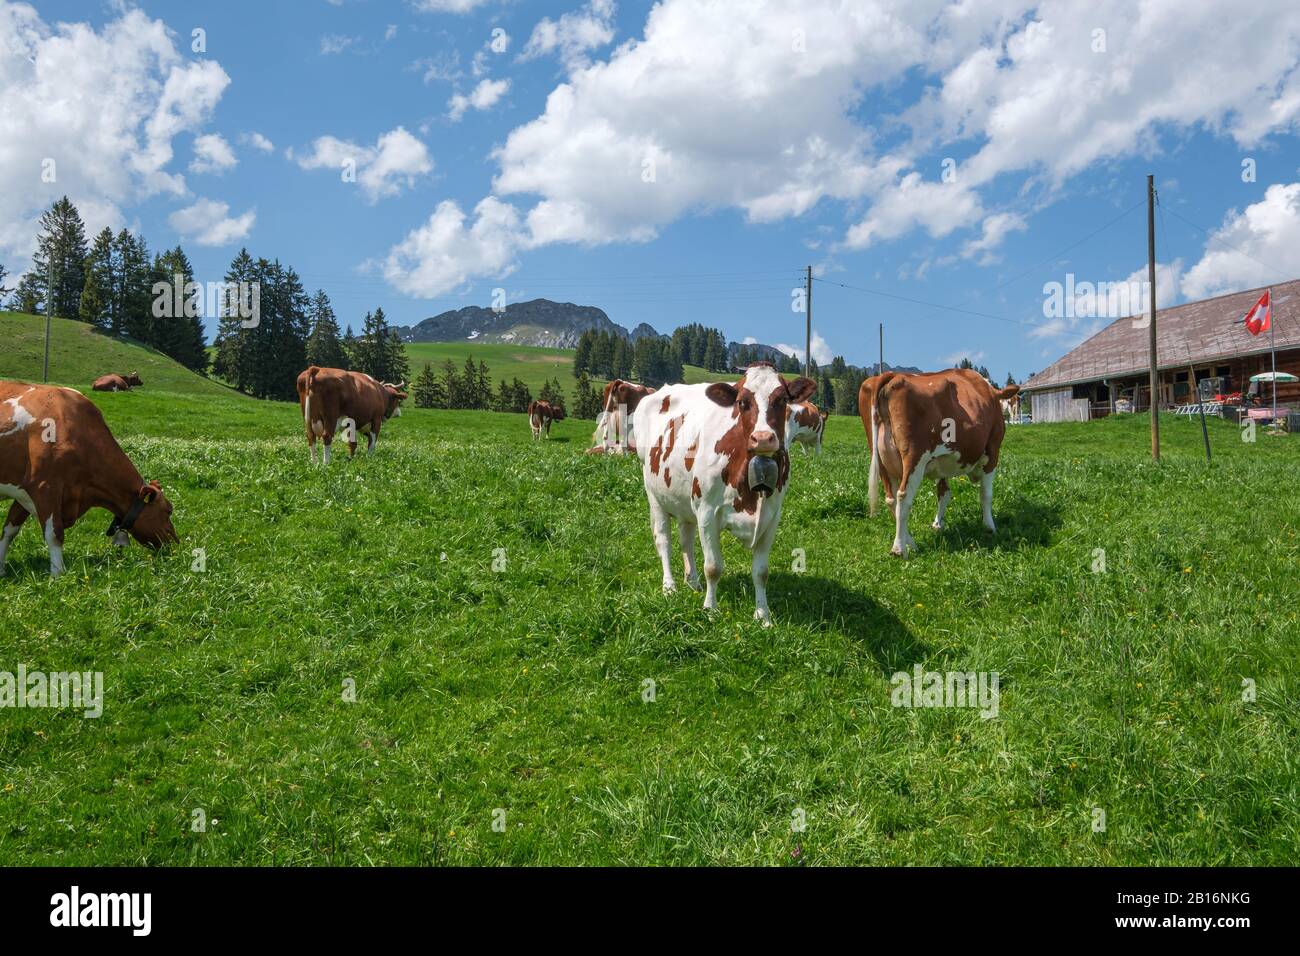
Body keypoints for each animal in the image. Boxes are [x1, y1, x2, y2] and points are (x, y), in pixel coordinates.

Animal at [1, 381, 177, 577]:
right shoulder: (45, 487)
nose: (175, 544)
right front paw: (57, 575)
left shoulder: (25, 492)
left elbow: (9, 530)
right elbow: (55, 534)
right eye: (168, 511)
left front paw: (1, 569)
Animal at [632, 362, 816, 625]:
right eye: (741, 402)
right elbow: (713, 567)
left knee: (686, 539)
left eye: (782, 399)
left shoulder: (772, 517)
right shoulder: (707, 512)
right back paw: (669, 586)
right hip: (655, 495)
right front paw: (711, 609)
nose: (762, 438)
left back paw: (693, 581)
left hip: (685, 501)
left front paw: (763, 615)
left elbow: (761, 572)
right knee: (663, 540)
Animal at [859, 369, 1018, 557]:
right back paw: (899, 548)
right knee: (903, 497)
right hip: (914, 457)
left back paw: (911, 543)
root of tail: (893, 375)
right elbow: (986, 494)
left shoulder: (941, 464)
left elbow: (944, 493)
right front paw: (989, 527)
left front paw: (937, 524)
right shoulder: (993, 452)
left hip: (880, 459)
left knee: (891, 499)